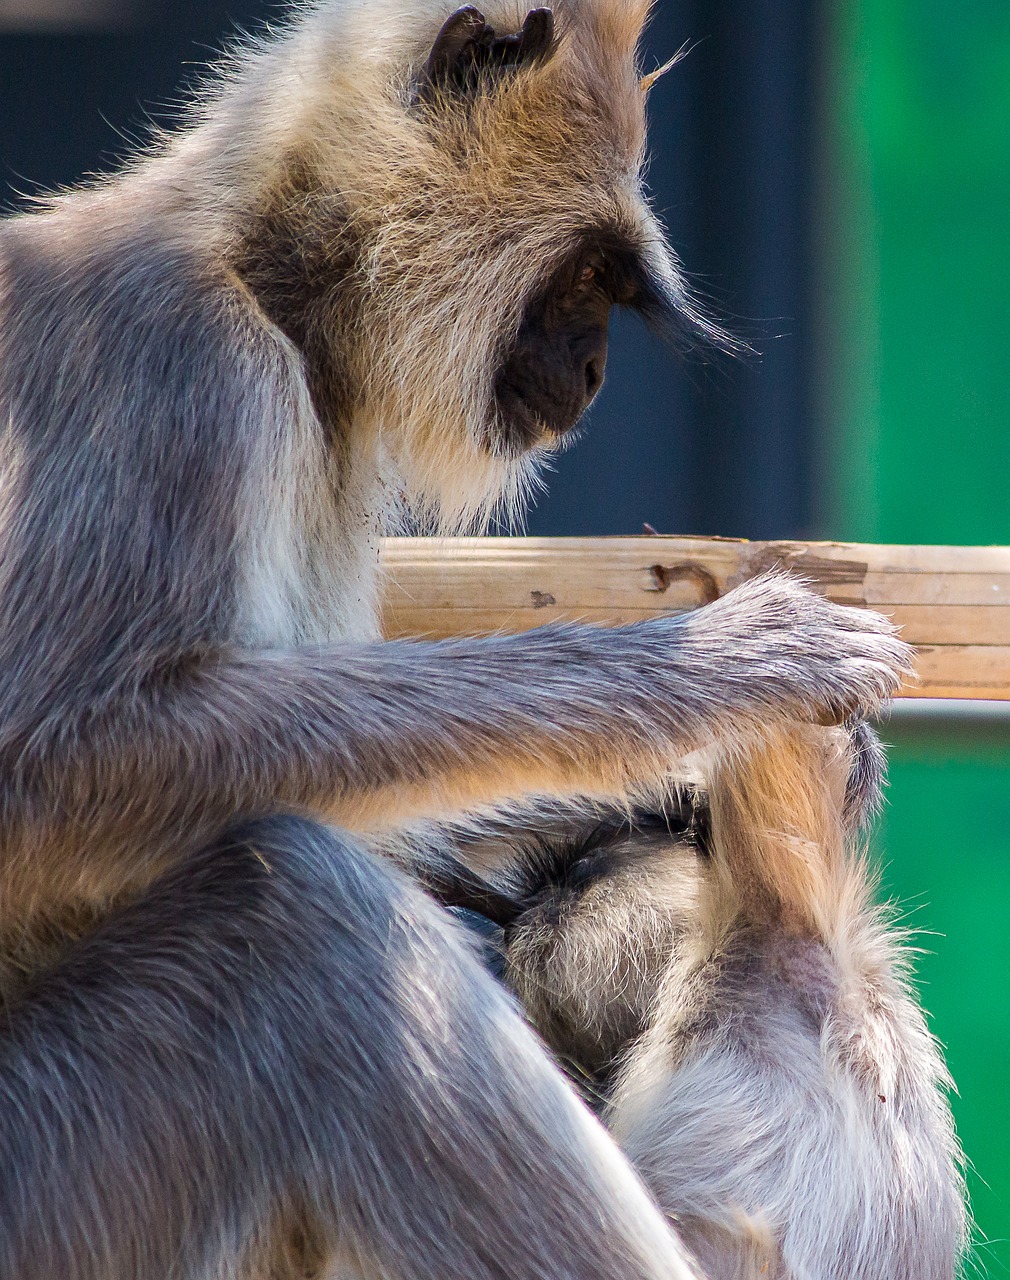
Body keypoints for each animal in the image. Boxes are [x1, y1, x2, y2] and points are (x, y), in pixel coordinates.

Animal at [0, 0, 914, 1273]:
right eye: (583, 278)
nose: (590, 370)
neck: (268, 281)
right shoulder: (170, 350)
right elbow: (48, 766)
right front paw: (726, 667)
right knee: (303, 918)